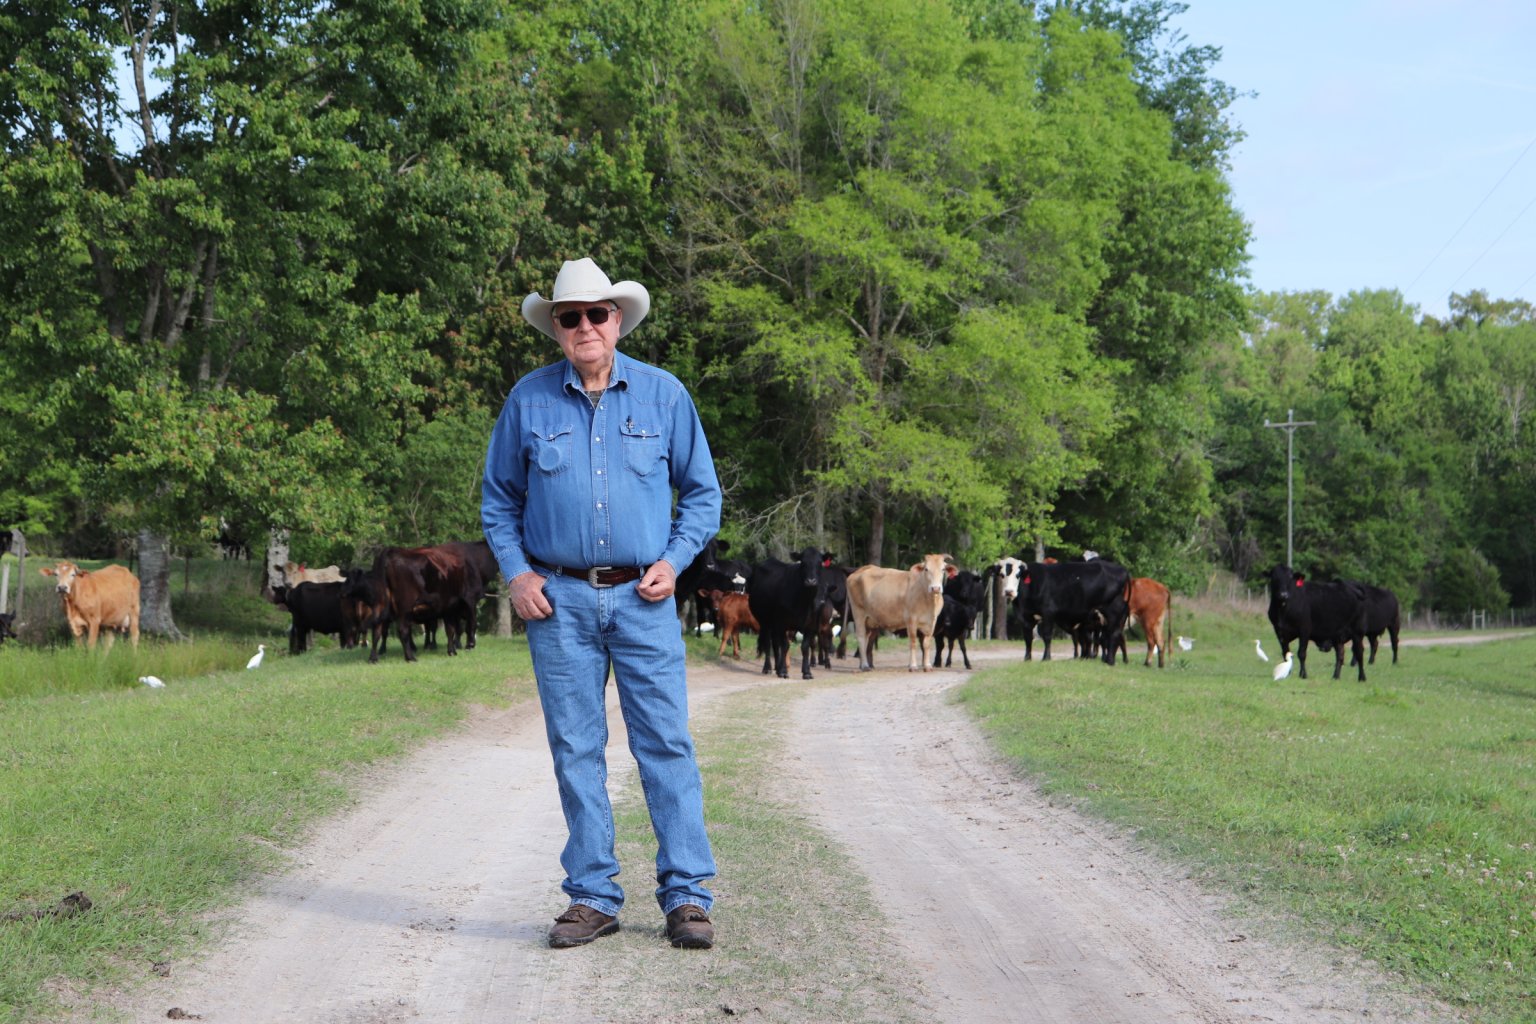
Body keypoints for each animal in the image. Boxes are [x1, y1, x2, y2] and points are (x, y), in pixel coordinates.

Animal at [747, 549, 829, 679]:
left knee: (775, 643)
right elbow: (785, 646)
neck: (804, 601)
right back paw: (768, 668)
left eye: (820, 563)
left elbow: (805, 647)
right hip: (764, 621)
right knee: (768, 643)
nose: (811, 581)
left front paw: (807, 672)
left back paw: (777, 668)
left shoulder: (810, 625)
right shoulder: (782, 623)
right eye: (803, 563)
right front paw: (784, 671)